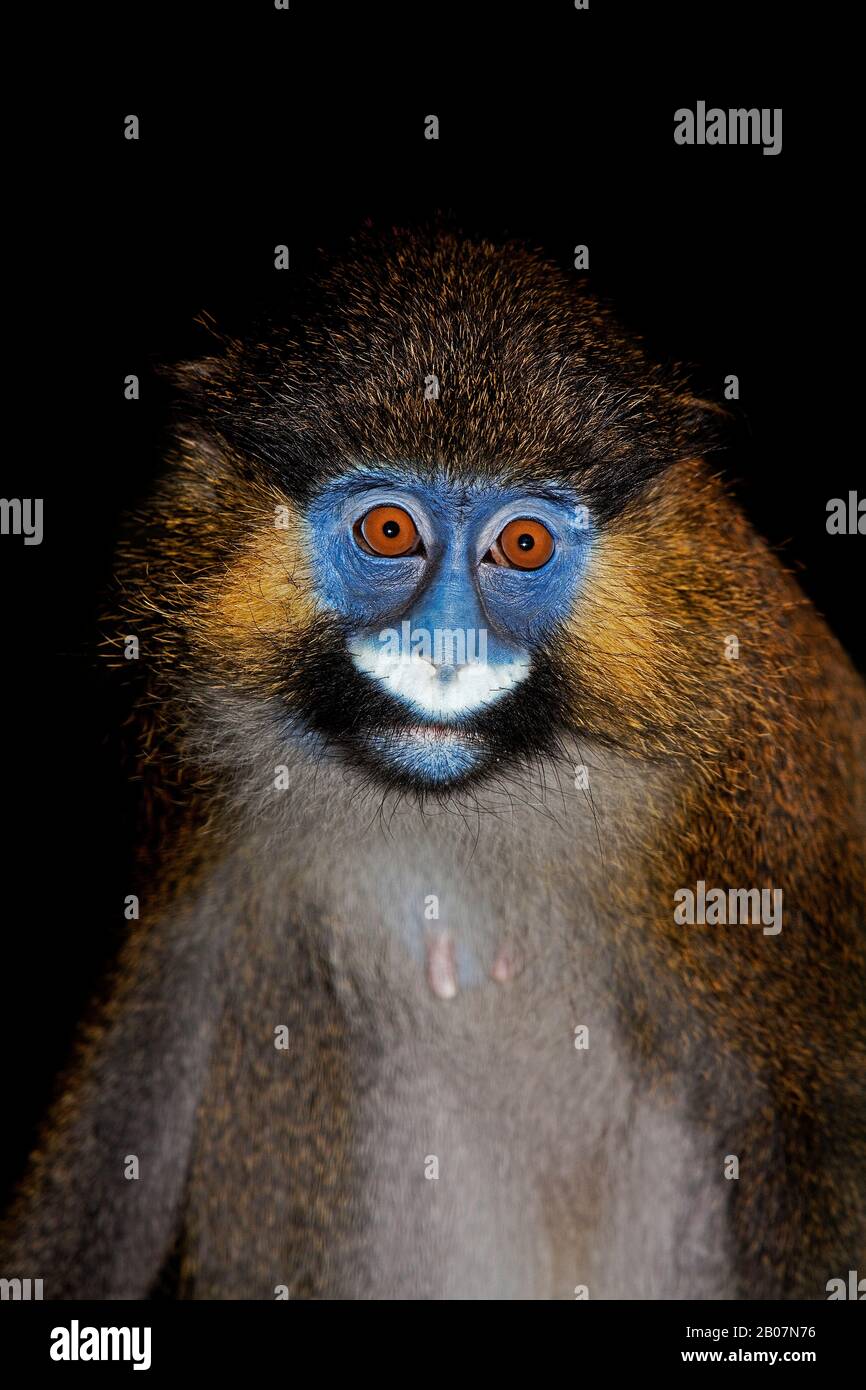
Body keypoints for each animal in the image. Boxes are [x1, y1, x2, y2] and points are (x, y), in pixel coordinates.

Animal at [2, 225, 864, 1300]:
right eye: (388, 530)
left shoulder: (747, 793)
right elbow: (149, 1045)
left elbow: (820, 1115)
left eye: (523, 543)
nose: (445, 649)